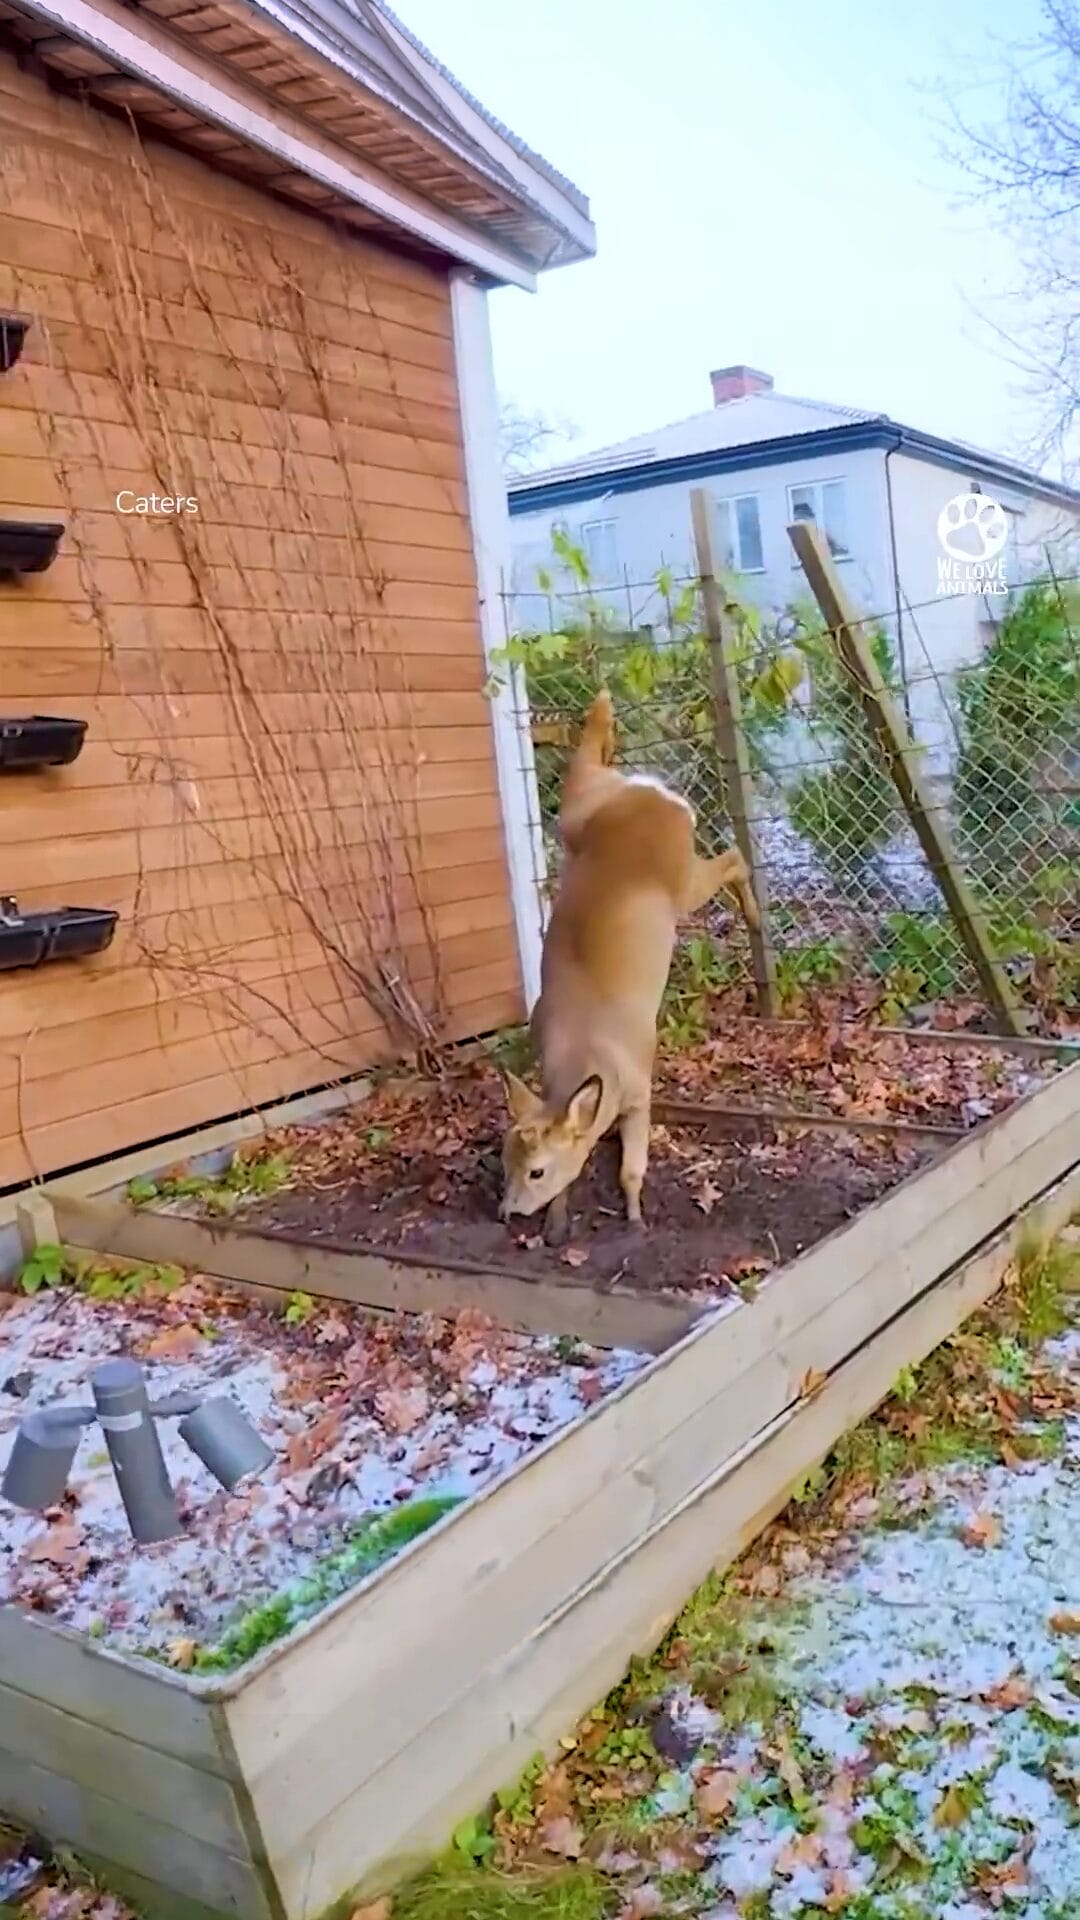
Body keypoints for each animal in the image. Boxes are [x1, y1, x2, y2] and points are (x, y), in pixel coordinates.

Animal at [499, 687, 759, 1243]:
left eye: (537, 1170)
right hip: (580, 812)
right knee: (586, 767)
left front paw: (636, 1216)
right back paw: (604, 713)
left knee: (733, 858)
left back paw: (753, 915)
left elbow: (631, 1168)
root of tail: (649, 794)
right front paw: (557, 1224)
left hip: (682, 877)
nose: (508, 1211)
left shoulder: (641, 1089)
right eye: (505, 1161)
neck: (589, 1054)